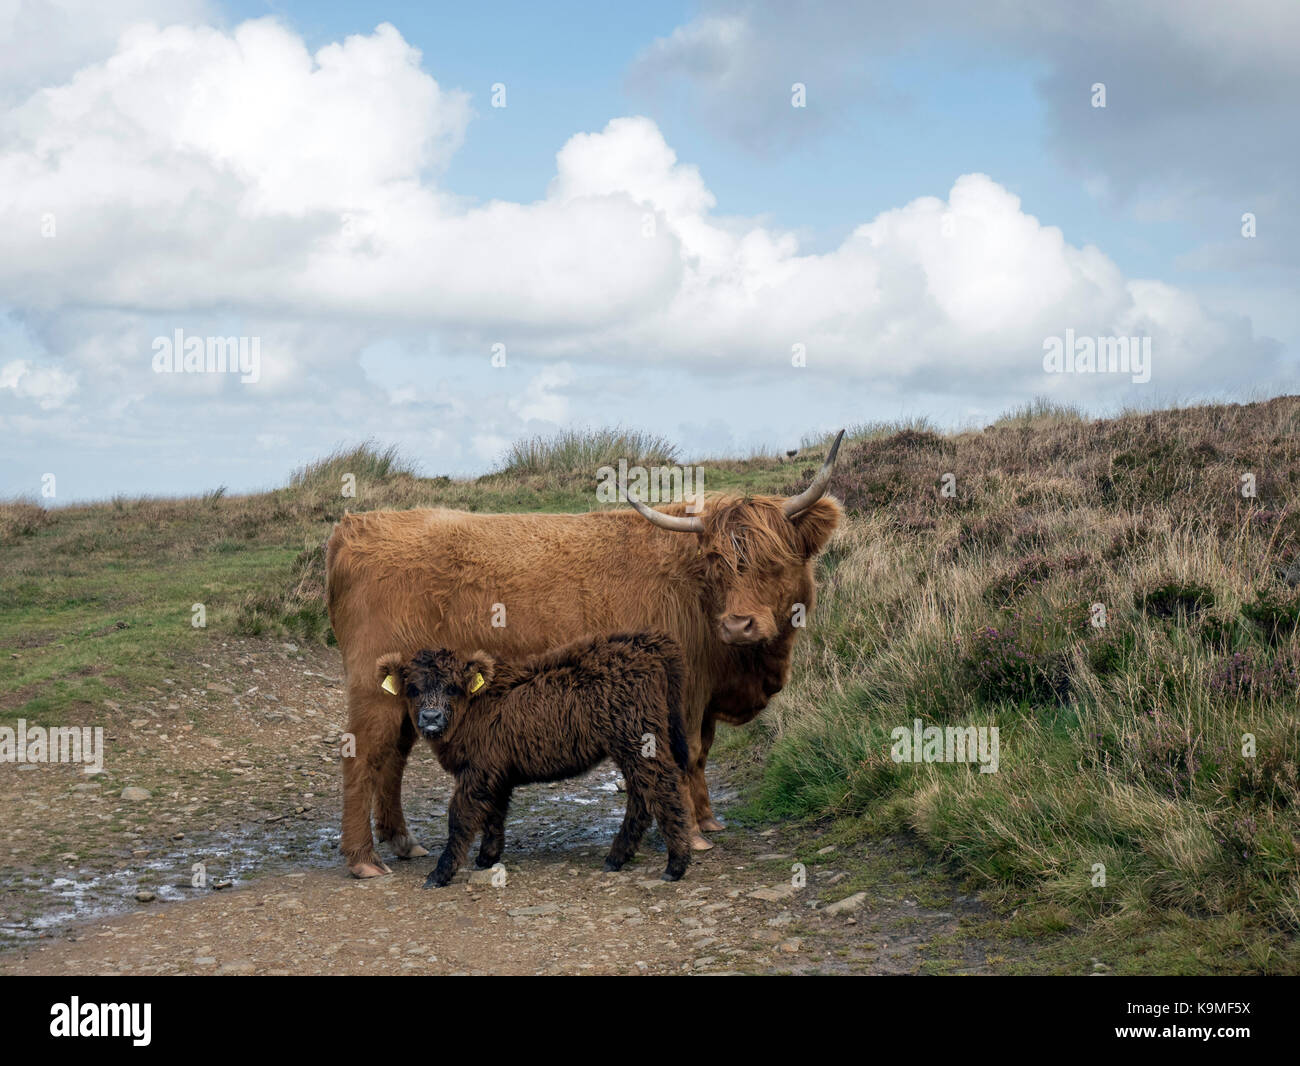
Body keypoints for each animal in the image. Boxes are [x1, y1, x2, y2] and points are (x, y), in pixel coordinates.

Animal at [376, 632, 692, 886]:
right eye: (413, 689)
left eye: (452, 687)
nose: (431, 717)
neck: (474, 708)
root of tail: (645, 643)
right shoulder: (496, 773)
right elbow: (494, 814)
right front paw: (487, 858)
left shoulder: (478, 770)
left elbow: (460, 817)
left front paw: (440, 874)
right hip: (630, 746)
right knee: (641, 795)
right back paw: (617, 858)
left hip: (639, 739)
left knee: (663, 787)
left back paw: (675, 865)